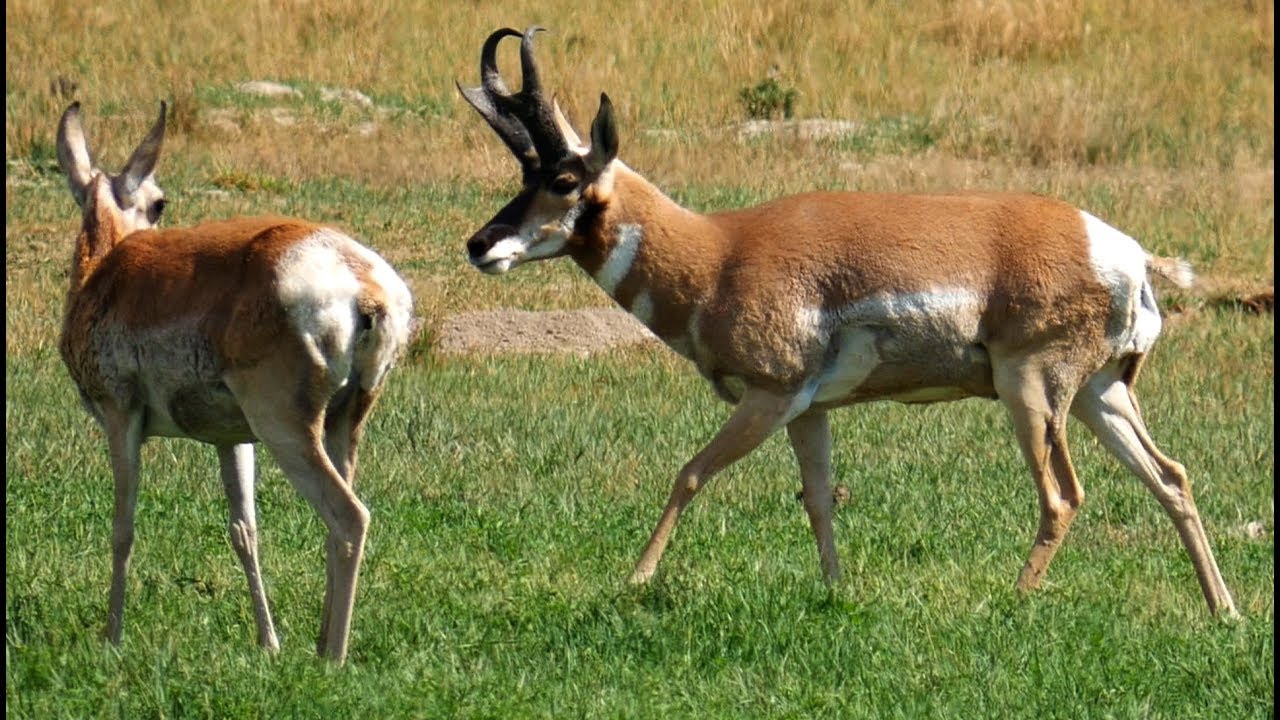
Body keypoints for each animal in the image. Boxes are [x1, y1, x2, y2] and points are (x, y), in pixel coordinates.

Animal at [56, 101, 414, 664]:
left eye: (159, 202)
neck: (108, 272)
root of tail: (363, 281)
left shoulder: (120, 418)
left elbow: (123, 527)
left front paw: (111, 637)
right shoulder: (232, 439)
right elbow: (244, 529)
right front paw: (269, 642)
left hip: (286, 430)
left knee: (350, 517)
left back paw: (333, 658)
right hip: (342, 425)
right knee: (335, 521)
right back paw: (317, 643)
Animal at [457, 27, 1238, 617]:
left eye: (563, 179)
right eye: (523, 175)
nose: (478, 244)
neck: (718, 251)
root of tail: (1121, 250)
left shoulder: (768, 395)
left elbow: (690, 473)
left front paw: (636, 579)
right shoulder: (808, 409)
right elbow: (819, 497)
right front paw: (836, 592)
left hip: (1032, 390)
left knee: (1063, 496)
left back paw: (1010, 603)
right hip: (1102, 394)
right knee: (1171, 477)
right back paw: (1222, 610)